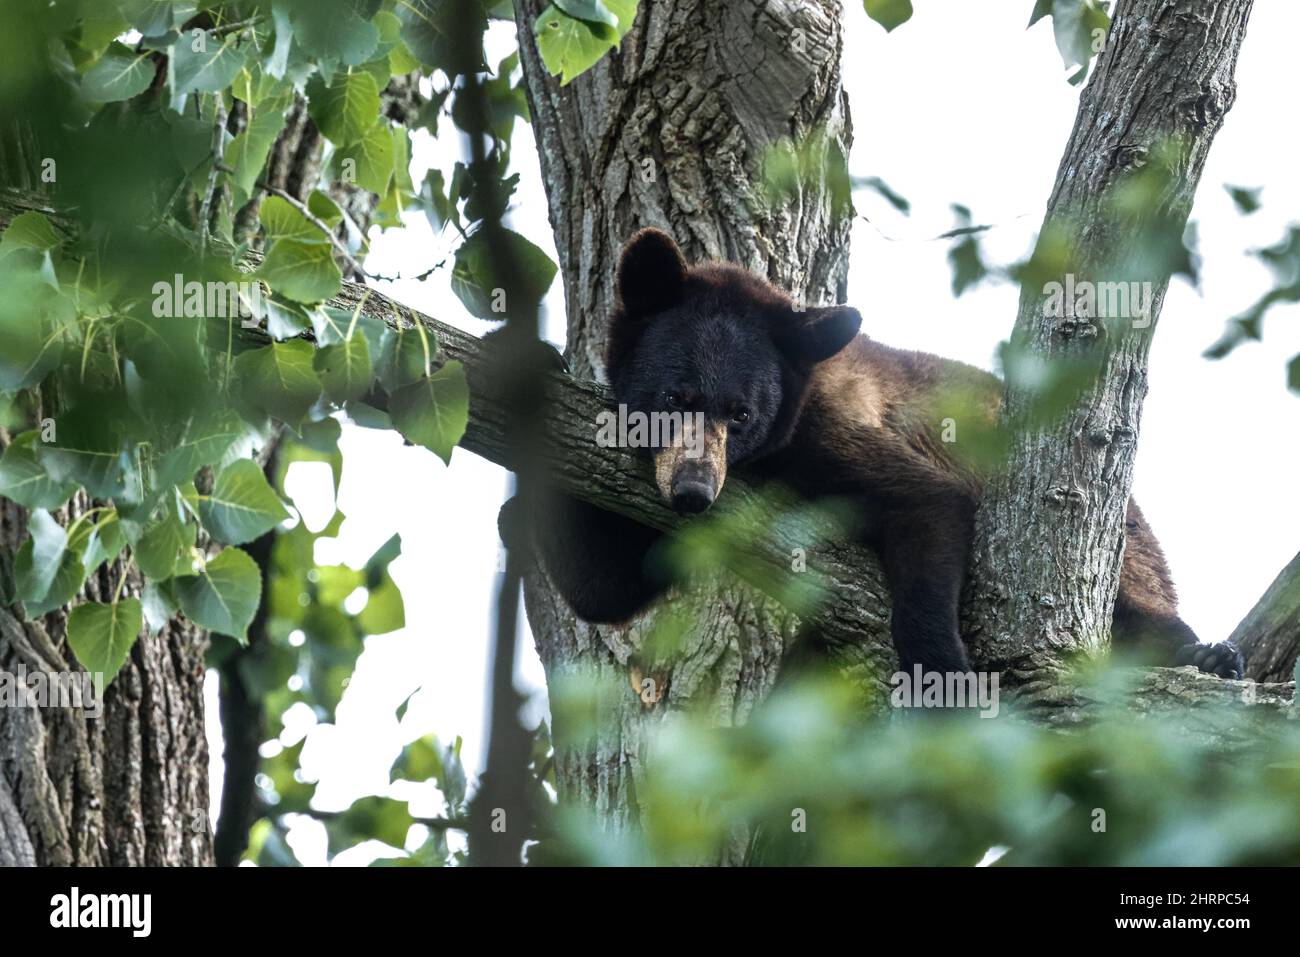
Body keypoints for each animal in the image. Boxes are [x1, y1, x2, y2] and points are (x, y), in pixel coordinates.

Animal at [508, 227, 1245, 682]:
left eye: (741, 414)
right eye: (670, 396)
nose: (693, 492)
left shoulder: (825, 435)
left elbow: (926, 502)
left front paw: (940, 677)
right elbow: (606, 587)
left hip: (1131, 552)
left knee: (1142, 613)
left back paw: (1209, 653)